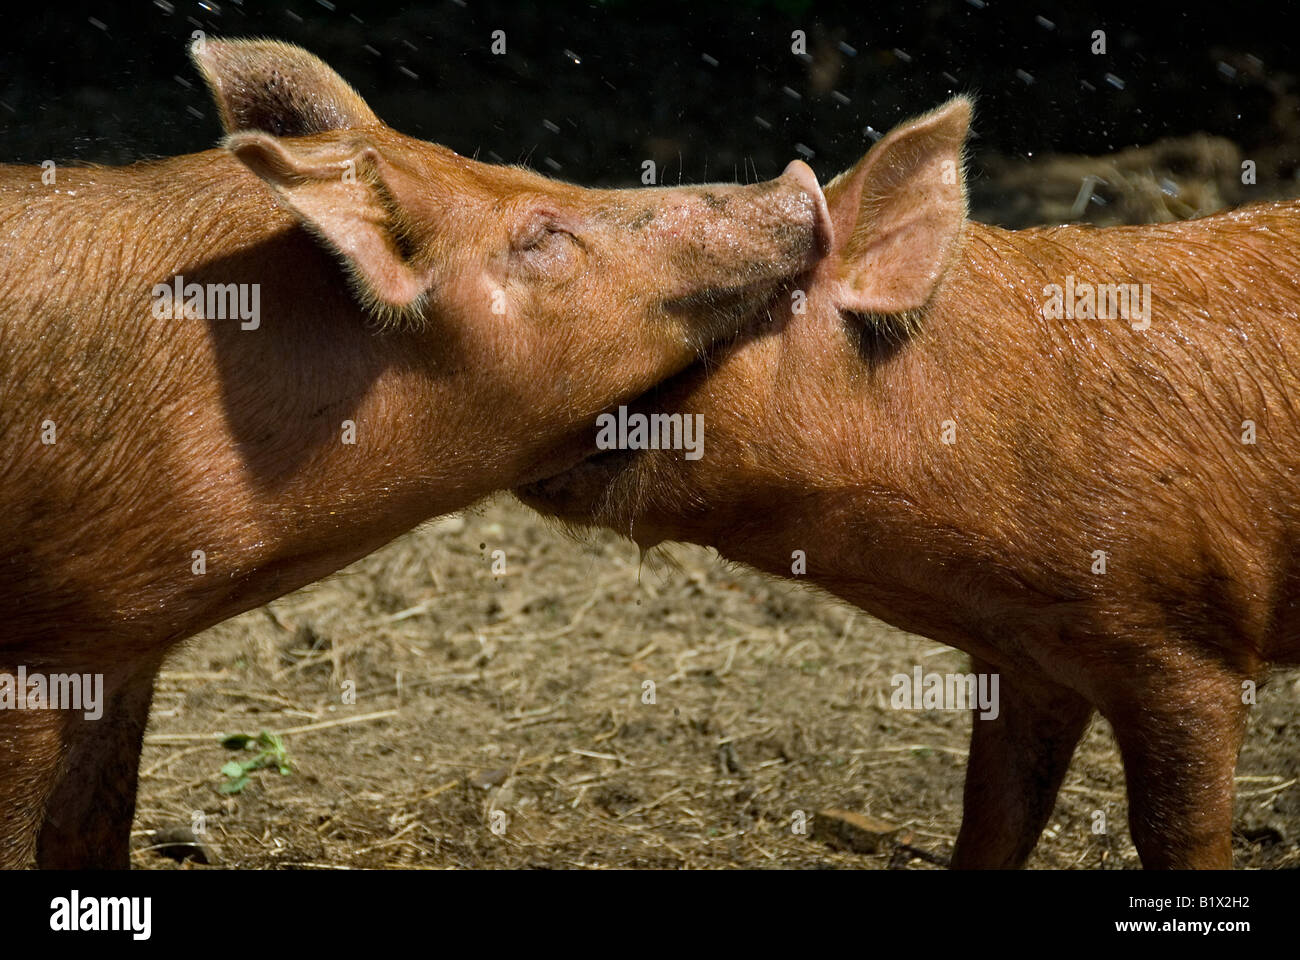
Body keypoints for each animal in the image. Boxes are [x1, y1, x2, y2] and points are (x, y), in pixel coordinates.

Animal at [0, 38, 828, 868]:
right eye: (540, 234)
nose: (800, 181)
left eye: (529, 171)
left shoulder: (125, 646)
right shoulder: (37, 660)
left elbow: (95, 823)